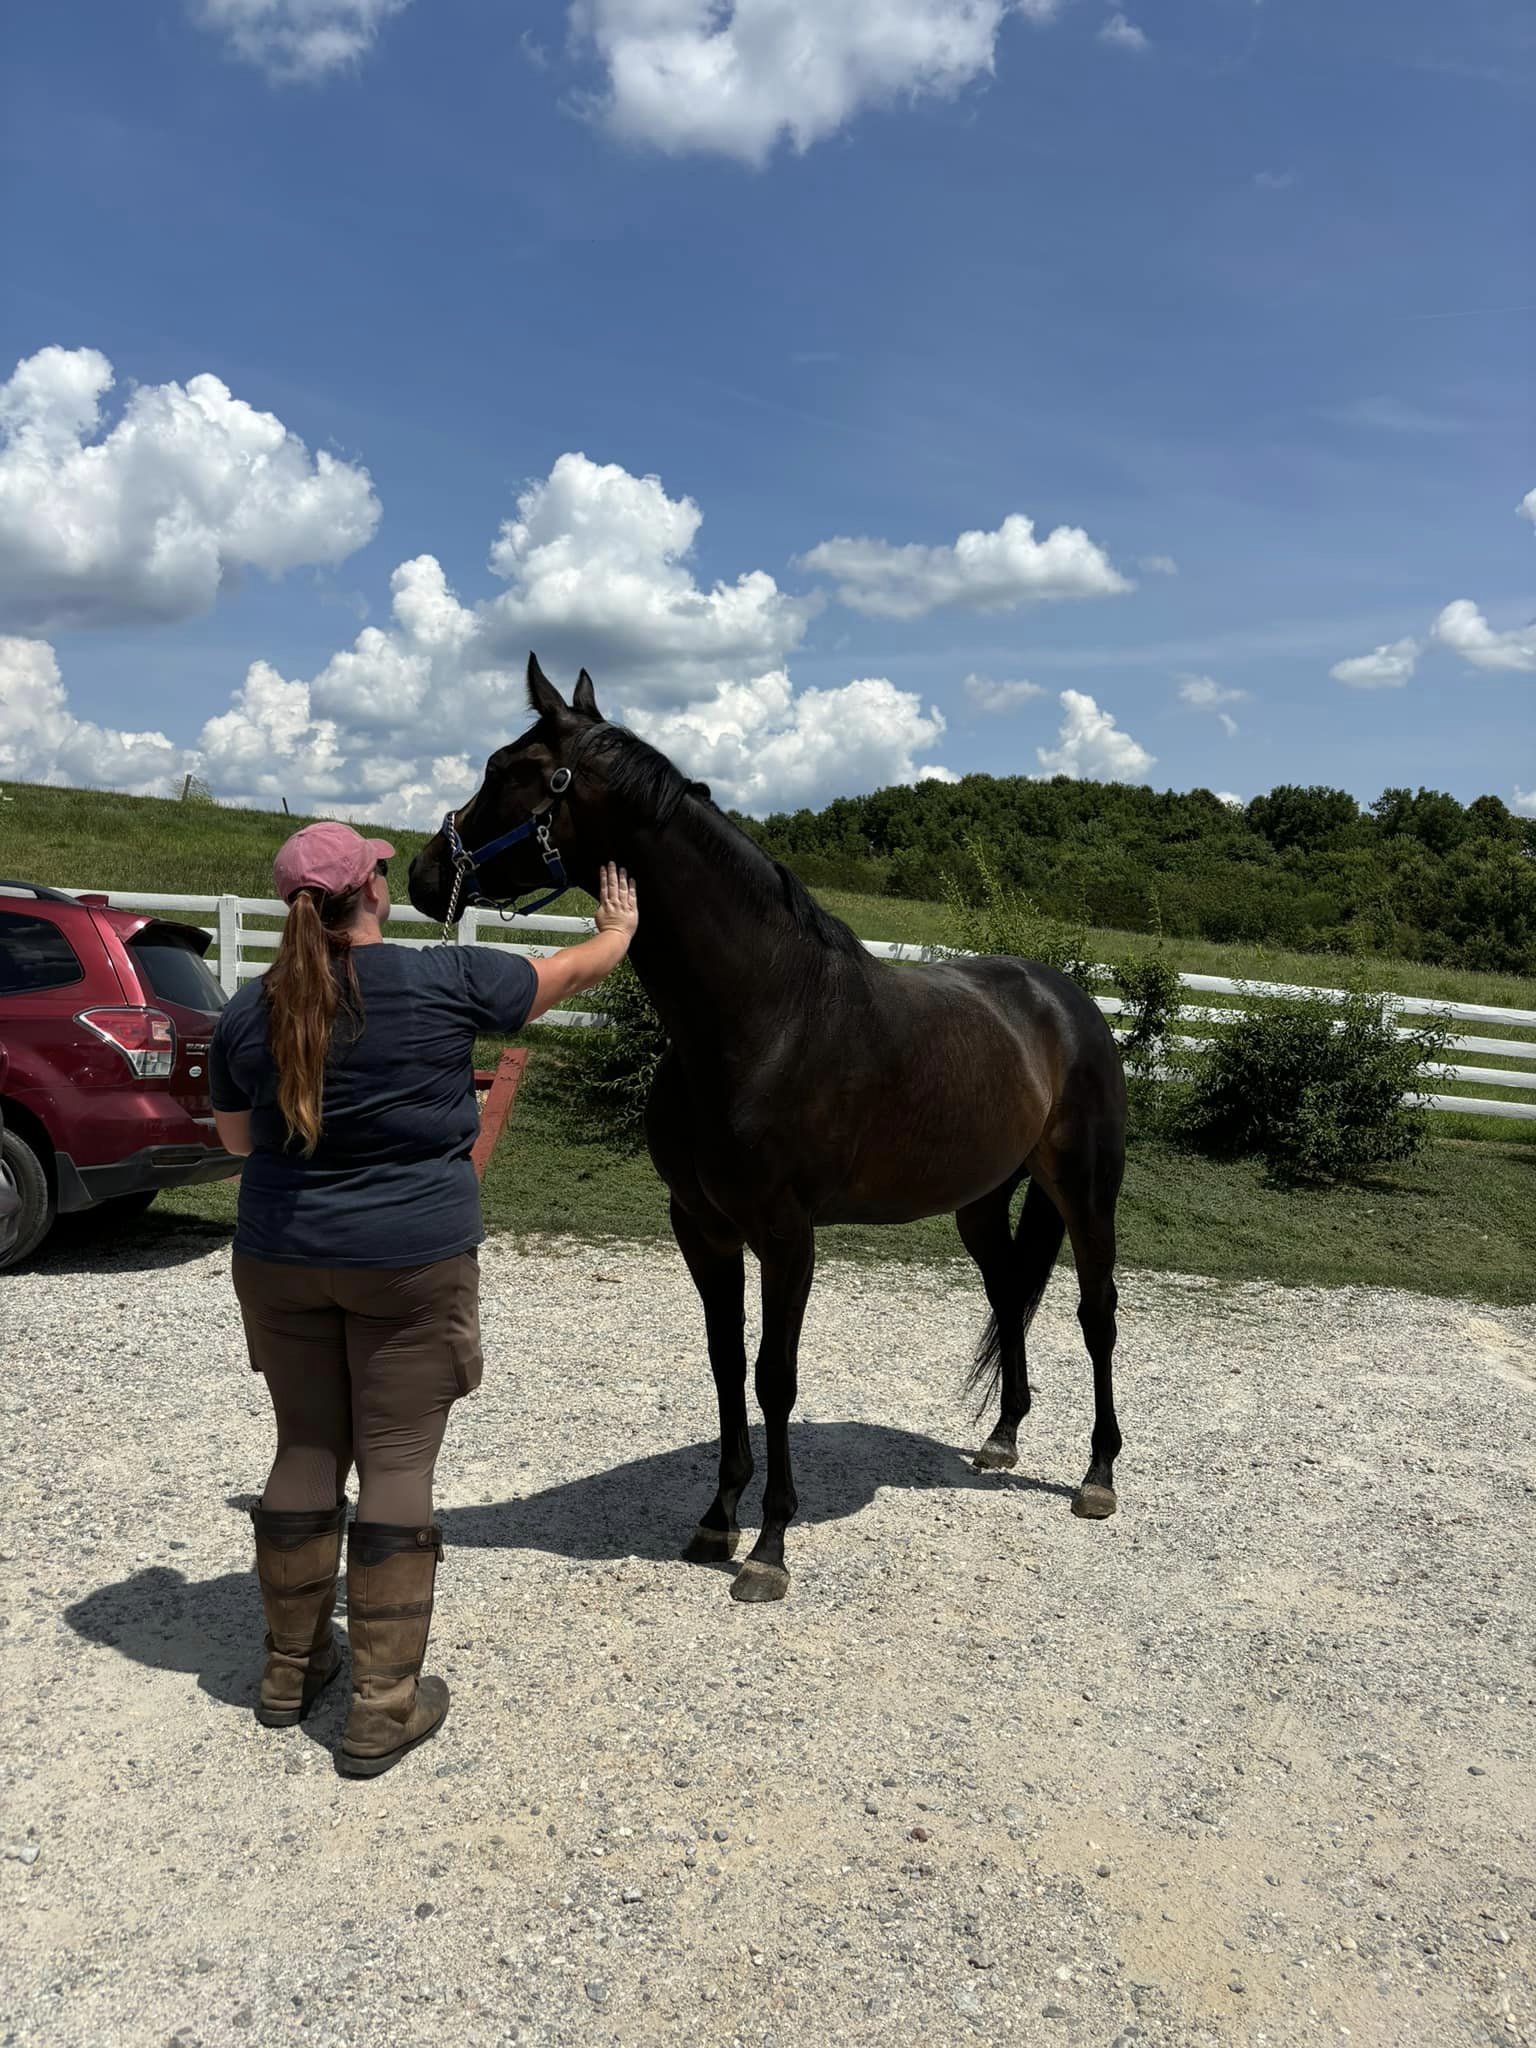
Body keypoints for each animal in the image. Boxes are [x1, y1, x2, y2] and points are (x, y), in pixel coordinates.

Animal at [408, 655, 1128, 1605]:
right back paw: (1002, 1437)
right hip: (981, 1201)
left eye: (509, 769)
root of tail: (1067, 1001)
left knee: (1096, 1313)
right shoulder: (702, 1227)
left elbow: (773, 1377)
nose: (422, 874)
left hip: (1084, 1190)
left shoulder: (788, 1235)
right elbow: (724, 1364)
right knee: (1009, 1294)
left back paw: (1098, 1475)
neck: (763, 1016)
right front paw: (718, 1519)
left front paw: (770, 1547)